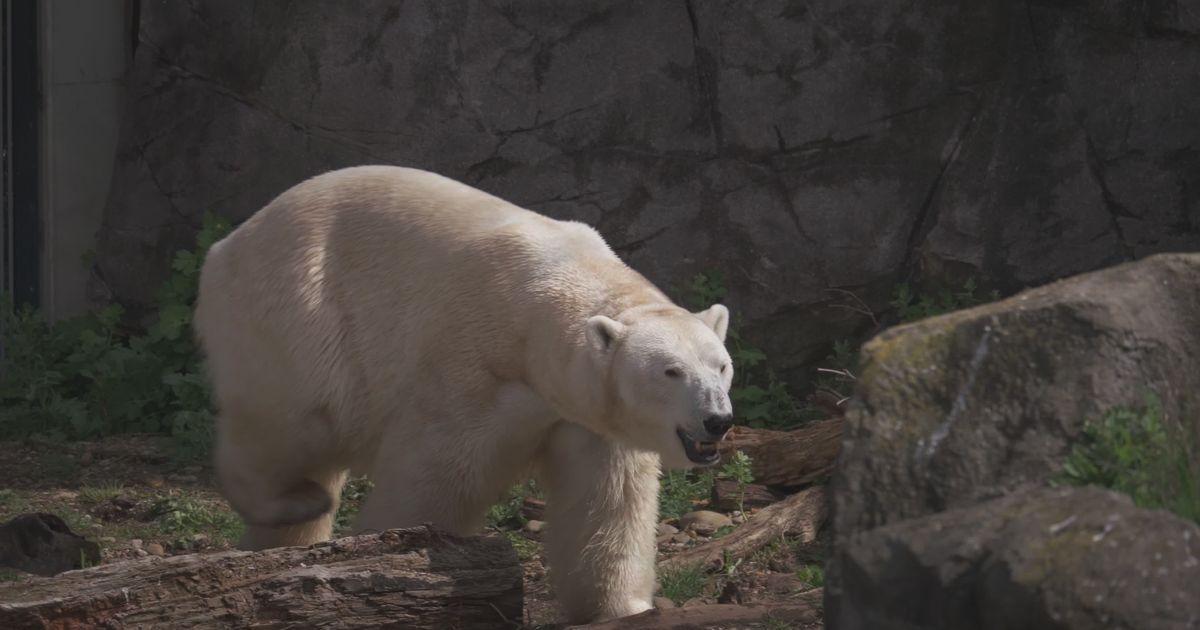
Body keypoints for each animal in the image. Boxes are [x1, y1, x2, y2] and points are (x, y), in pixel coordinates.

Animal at [192, 165, 735, 623]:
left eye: (721, 366)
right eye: (670, 371)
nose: (717, 420)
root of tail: (227, 243)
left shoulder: (587, 415)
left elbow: (607, 501)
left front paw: (624, 607)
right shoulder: (468, 369)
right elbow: (432, 481)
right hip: (297, 314)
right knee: (287, 426)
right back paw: (293, 502)